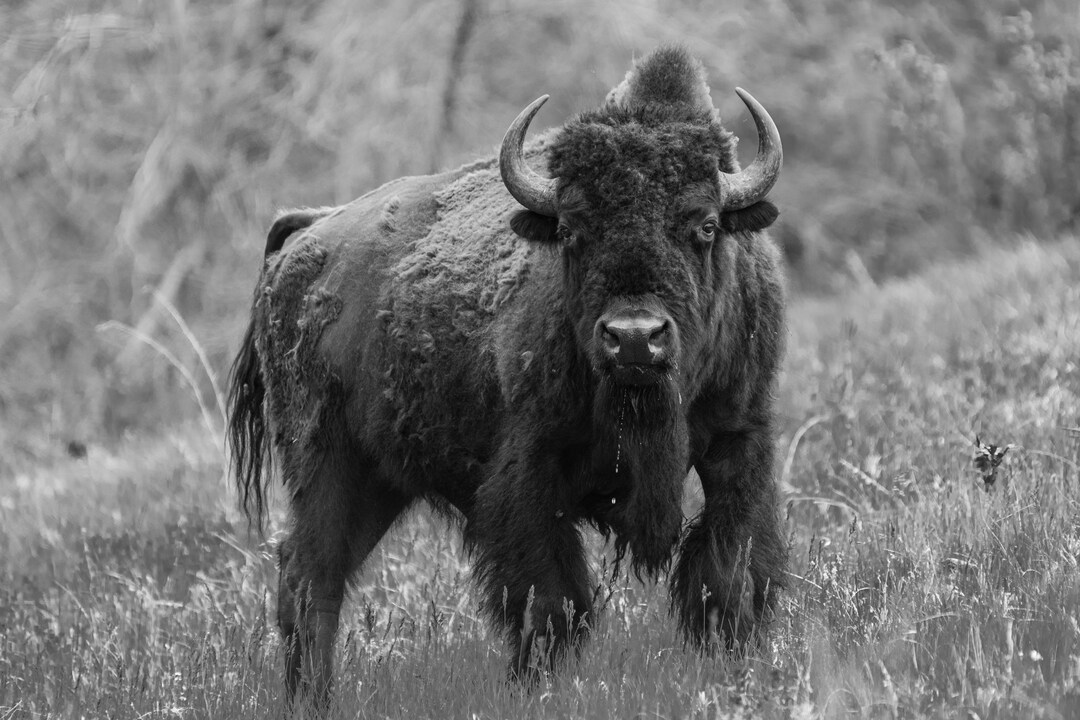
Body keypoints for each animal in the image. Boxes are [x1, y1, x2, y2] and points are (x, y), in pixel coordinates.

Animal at [228, 45, 787, 707]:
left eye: (704, 225)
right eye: (571, 229)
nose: (633, 337)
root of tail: (306, 235)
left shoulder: (738, 444)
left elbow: (726, 572)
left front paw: (735, 669)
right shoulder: (530, 473)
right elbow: (552, 599)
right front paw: (533, 685)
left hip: (378, 480)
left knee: (318, 572)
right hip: (325, 461)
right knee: (309, 576)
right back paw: (313, 697)